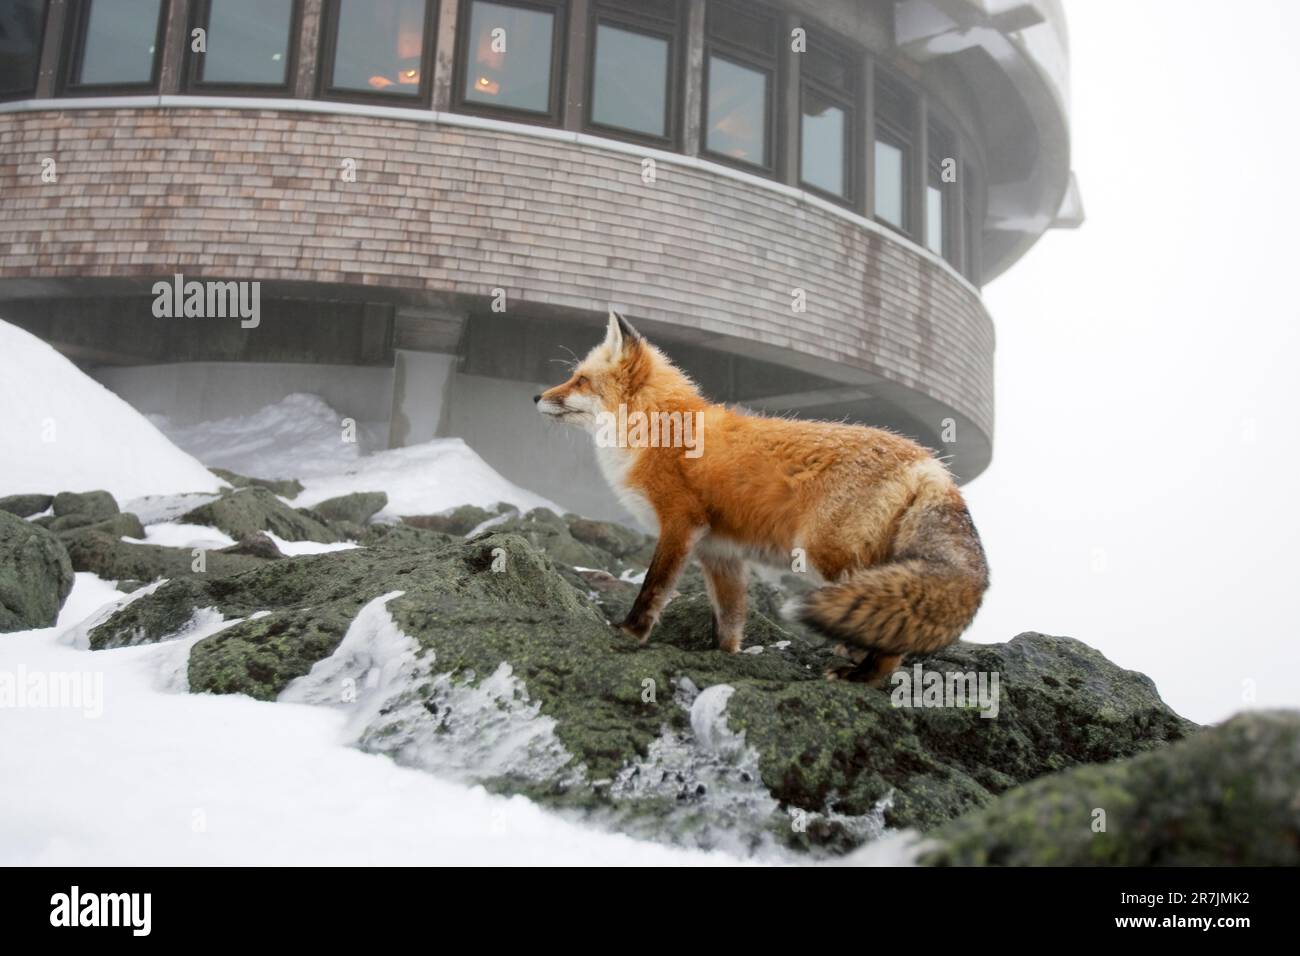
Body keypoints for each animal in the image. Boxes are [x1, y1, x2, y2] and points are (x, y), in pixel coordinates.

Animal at [534, 310, 989, 685]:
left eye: (580, 380)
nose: (535, 397)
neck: (658, 429)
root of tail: (929, 461)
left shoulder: (680, 524)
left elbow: (653, 588)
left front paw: (631, 631)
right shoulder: (720, 552)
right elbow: (730, 619)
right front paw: (725, 658)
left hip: (825, 554)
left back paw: (863, 676)